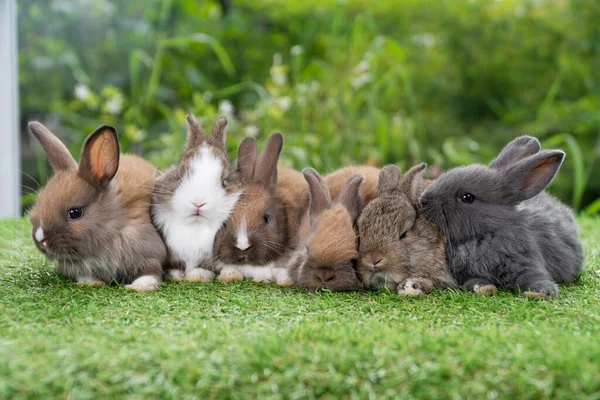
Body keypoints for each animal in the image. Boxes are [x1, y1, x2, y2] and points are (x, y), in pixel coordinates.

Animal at [27, 121, 165, 290]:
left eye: (75, 213)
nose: (40, 238)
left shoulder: (149, 251)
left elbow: (150, 272)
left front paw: (138, 287)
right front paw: (91, 283)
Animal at [151, 115, 243, 282]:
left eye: (224, 182)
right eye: (180, 176)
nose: (198, 203)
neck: (196, 226)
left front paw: (199, 274)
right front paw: (176, 274)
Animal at [420, 136, 584, 298]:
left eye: (467, 197)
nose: (423, 200)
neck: (482, 236)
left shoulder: (527, 261)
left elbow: (533, 277)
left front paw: (540, 292)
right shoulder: (466, 274)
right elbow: (472, 280)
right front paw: (482, 287)